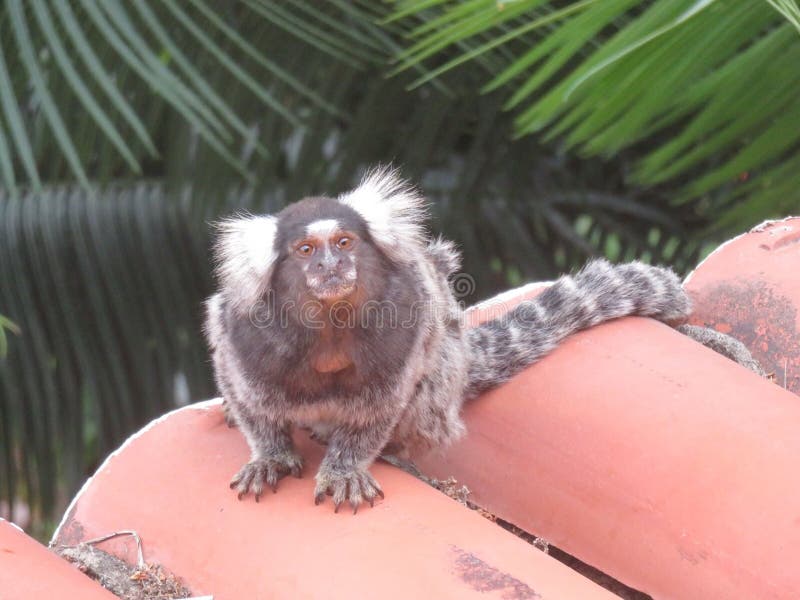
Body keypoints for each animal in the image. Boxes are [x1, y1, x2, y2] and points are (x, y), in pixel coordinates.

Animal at [204, 167, 763, 513]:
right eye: (306, 250)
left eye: (343, 243)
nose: (330, 267)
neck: (330, 326)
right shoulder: (241, 332)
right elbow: (246, 394)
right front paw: (271, 455)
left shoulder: (404, 328)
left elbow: (379, 407)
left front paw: (345, 467)